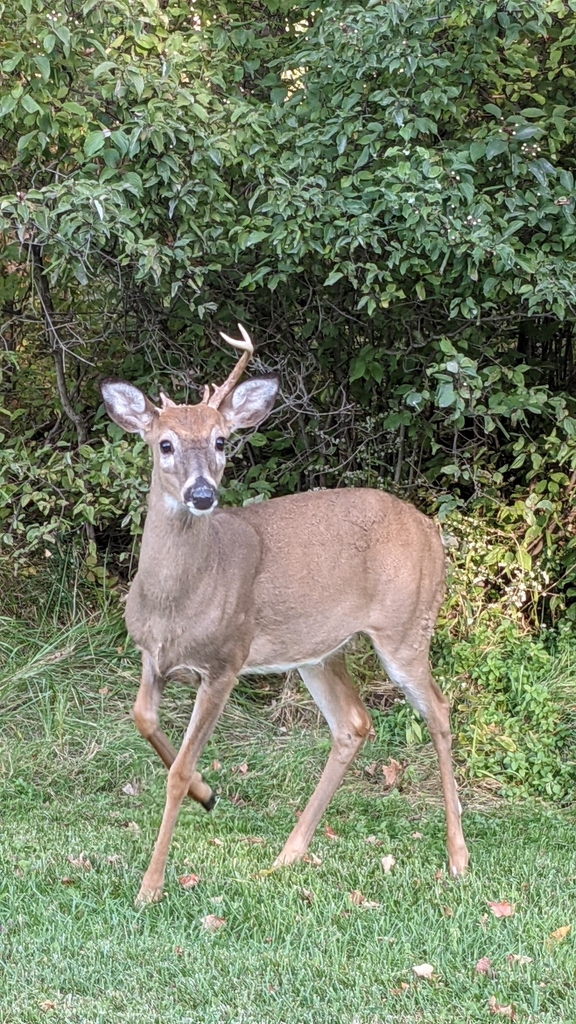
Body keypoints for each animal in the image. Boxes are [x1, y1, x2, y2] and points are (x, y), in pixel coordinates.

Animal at [100, 326, 469, 904]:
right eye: (165, 444)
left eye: (221, 441)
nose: (201, 493)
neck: (173, 604)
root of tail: (432, 530)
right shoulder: (151, 655)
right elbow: (142, 719)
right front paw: (209, 795)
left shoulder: (226, 661)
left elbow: (178, 771)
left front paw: (150, 886)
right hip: (319, 650)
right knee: (354, 723)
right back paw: (288, 854)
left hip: (407, 627)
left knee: (438, 710)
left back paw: (457, 857)